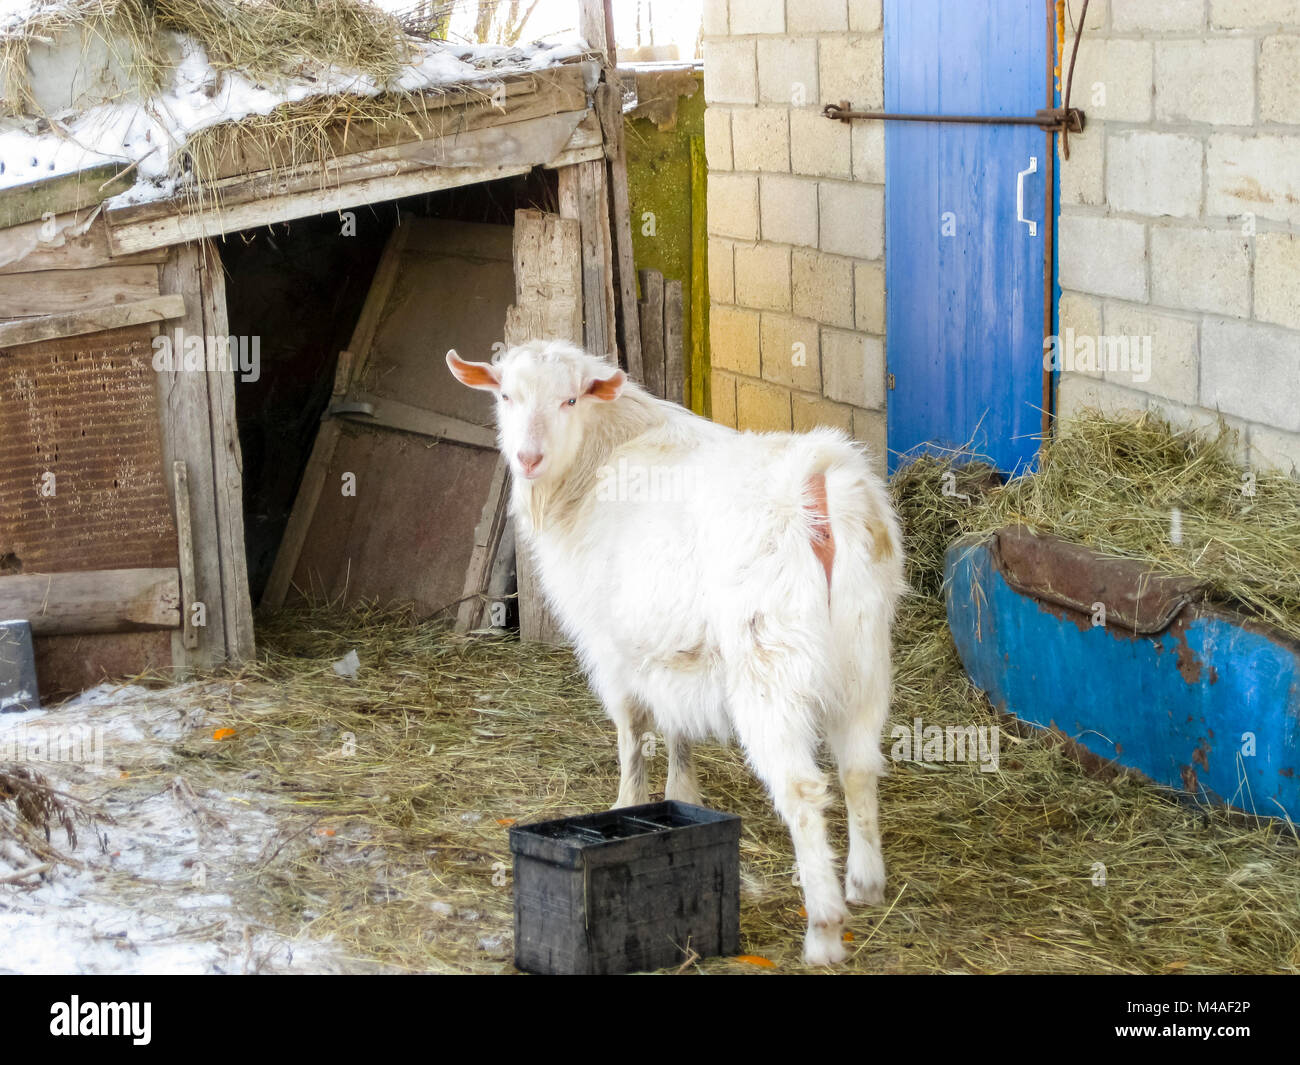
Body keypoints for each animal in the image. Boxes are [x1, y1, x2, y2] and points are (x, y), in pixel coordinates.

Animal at [447, 339, 905, 965]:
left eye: (570, 399)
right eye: (505, 396)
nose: (529, 458)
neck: (597, 458)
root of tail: (814, 485)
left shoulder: (611, 646)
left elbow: (632, 729)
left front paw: (628, 803)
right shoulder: (673, 648)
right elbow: (676, 726)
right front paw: (680, 795)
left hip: (770, 665)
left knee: (803, 789)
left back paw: (825, 930)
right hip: (863, 653)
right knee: (859, 769)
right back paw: (865, 883)